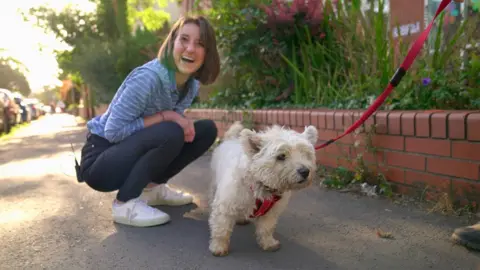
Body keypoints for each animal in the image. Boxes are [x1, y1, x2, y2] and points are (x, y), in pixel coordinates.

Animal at [207, 121, 316, 256]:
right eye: (281, 156)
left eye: (306, 154)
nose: (305, 171)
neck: (260, 185)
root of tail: (231, 139)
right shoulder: (225, 206)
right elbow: (221, 229)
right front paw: (219, 247)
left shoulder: (271, 212)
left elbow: (267, 228)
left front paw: (268, 243)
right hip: (214, 183)